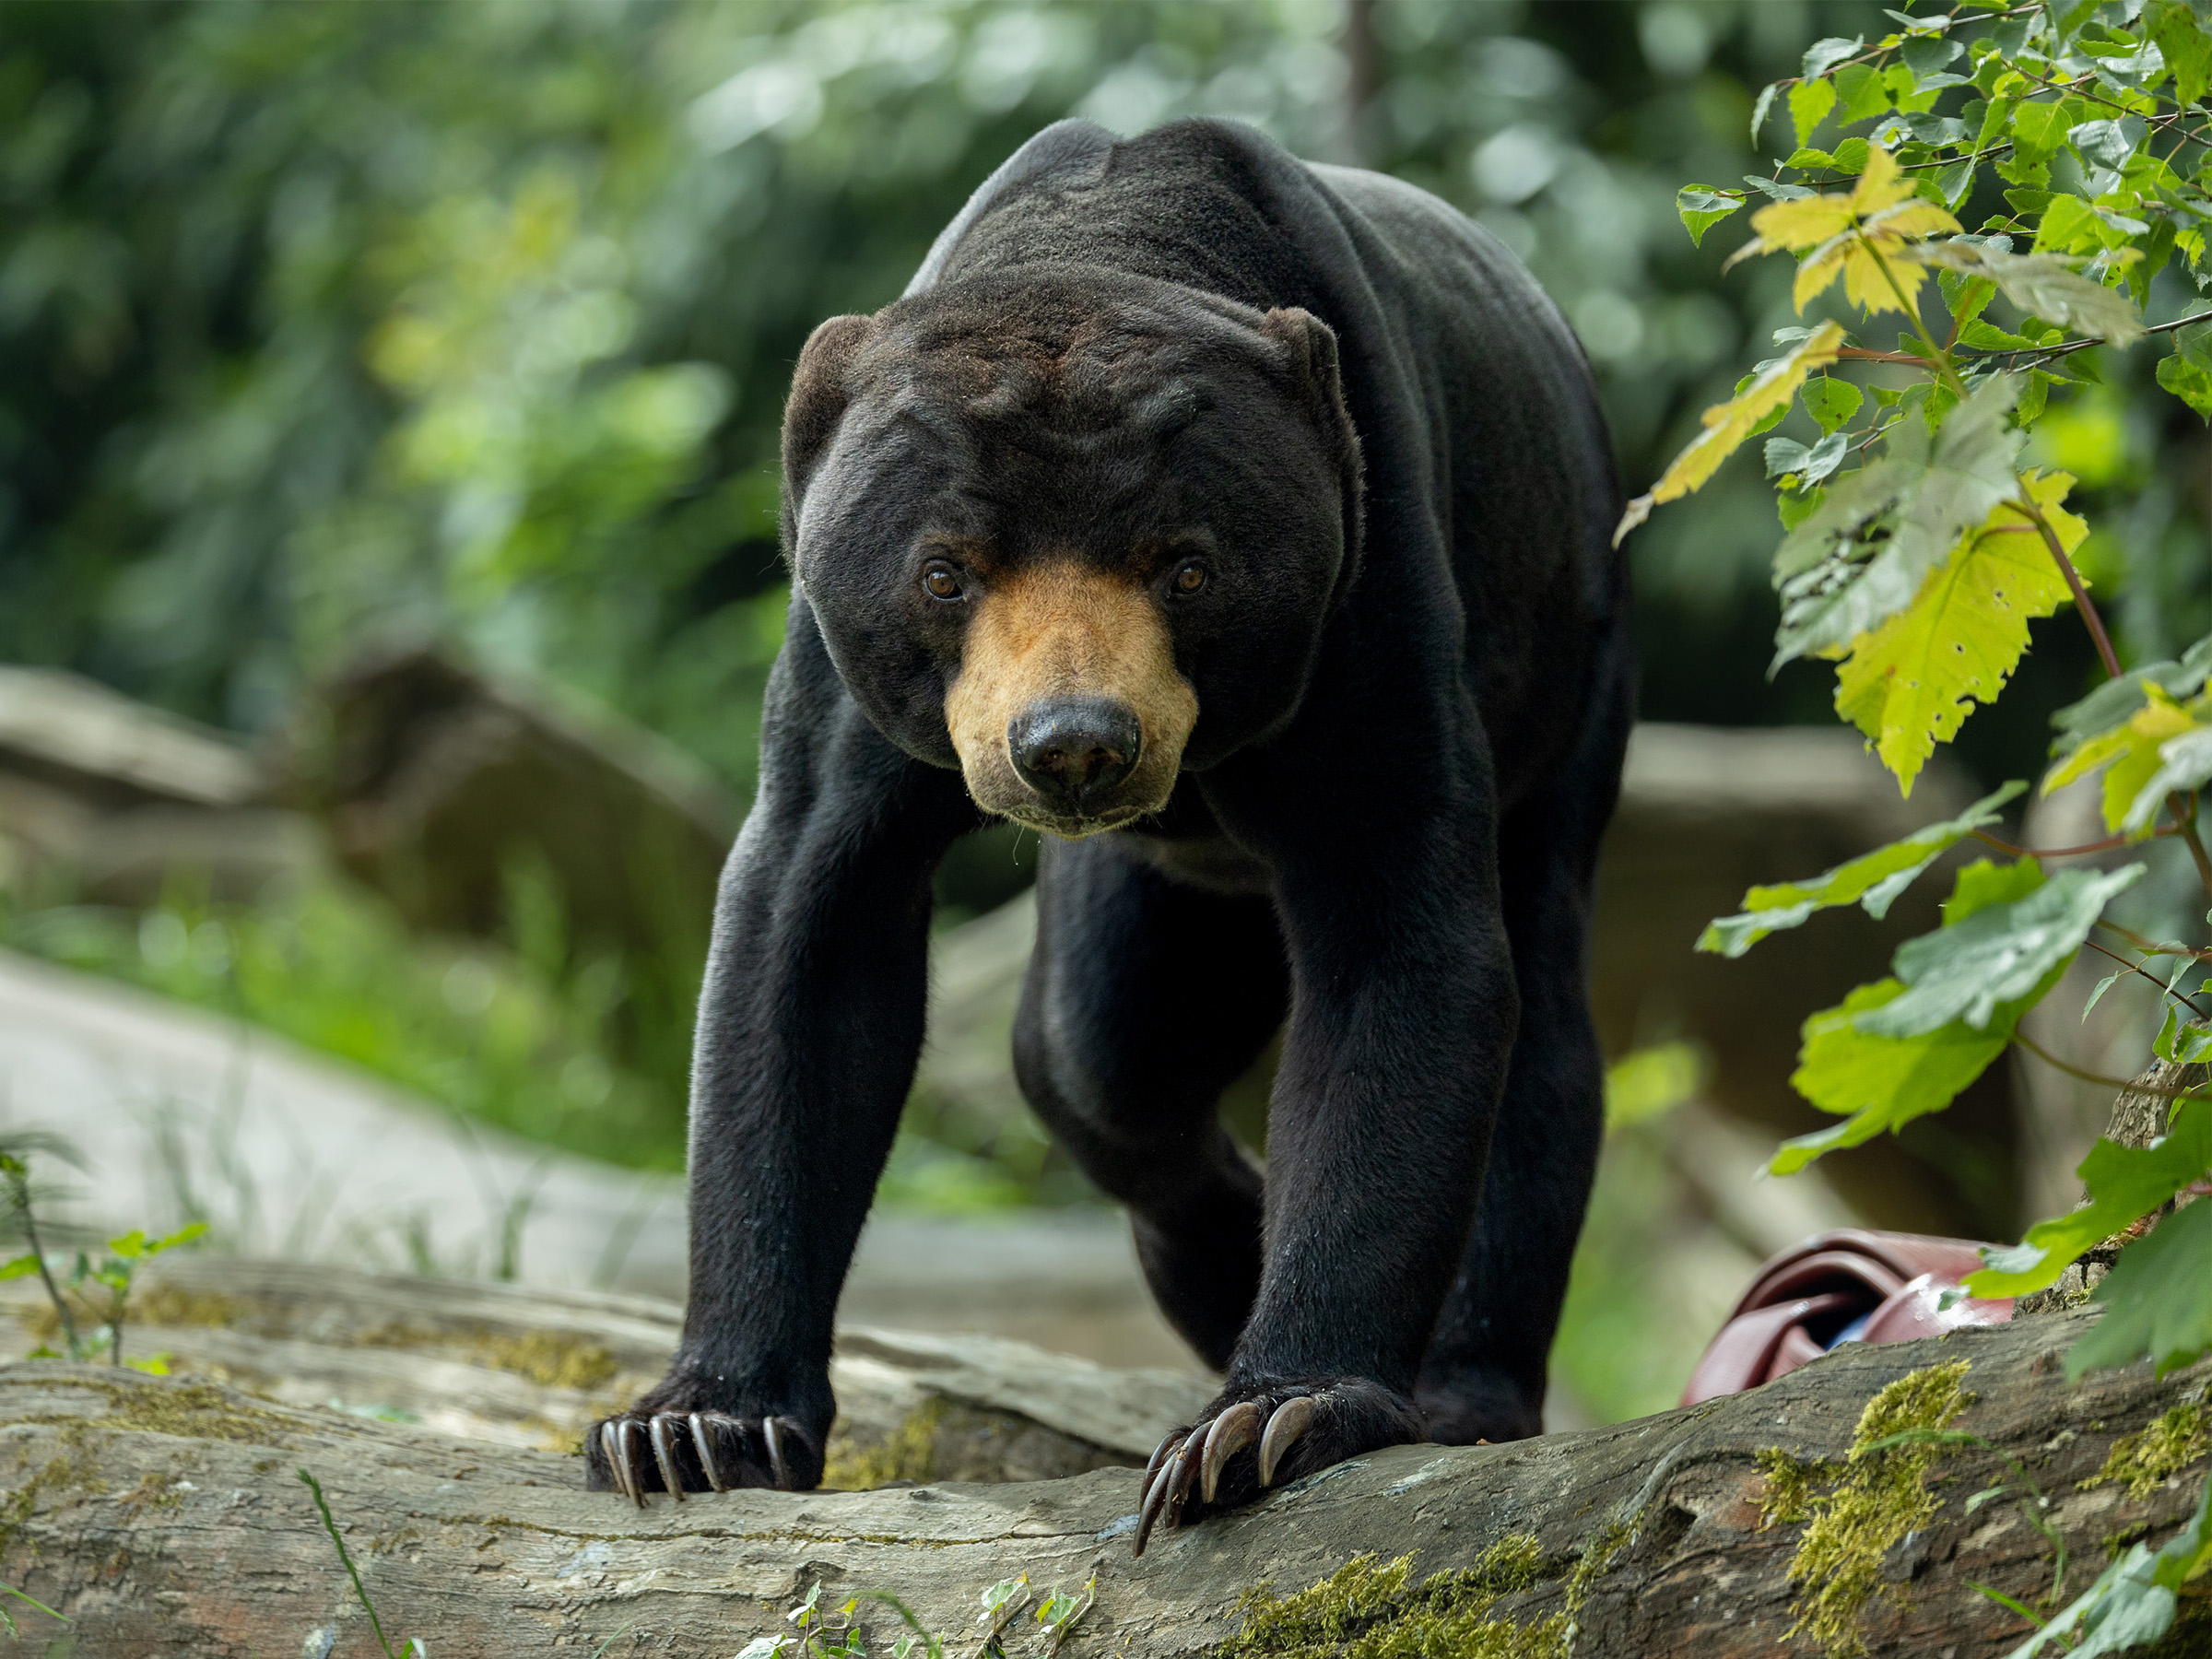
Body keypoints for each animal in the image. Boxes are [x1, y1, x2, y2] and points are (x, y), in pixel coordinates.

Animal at [587, 117, 1632, 1554]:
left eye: (1186, 566)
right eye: (944, 572)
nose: (1076, 744)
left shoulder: (1374, 593)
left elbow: (1405, 943)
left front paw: (1266, 1425)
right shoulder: (841, 676)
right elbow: (810, 934)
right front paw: (693, 1430)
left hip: (1572, 675)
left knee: (1543, 1032)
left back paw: (1462, 1391)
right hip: (1140, 890)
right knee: (1097, 1059)